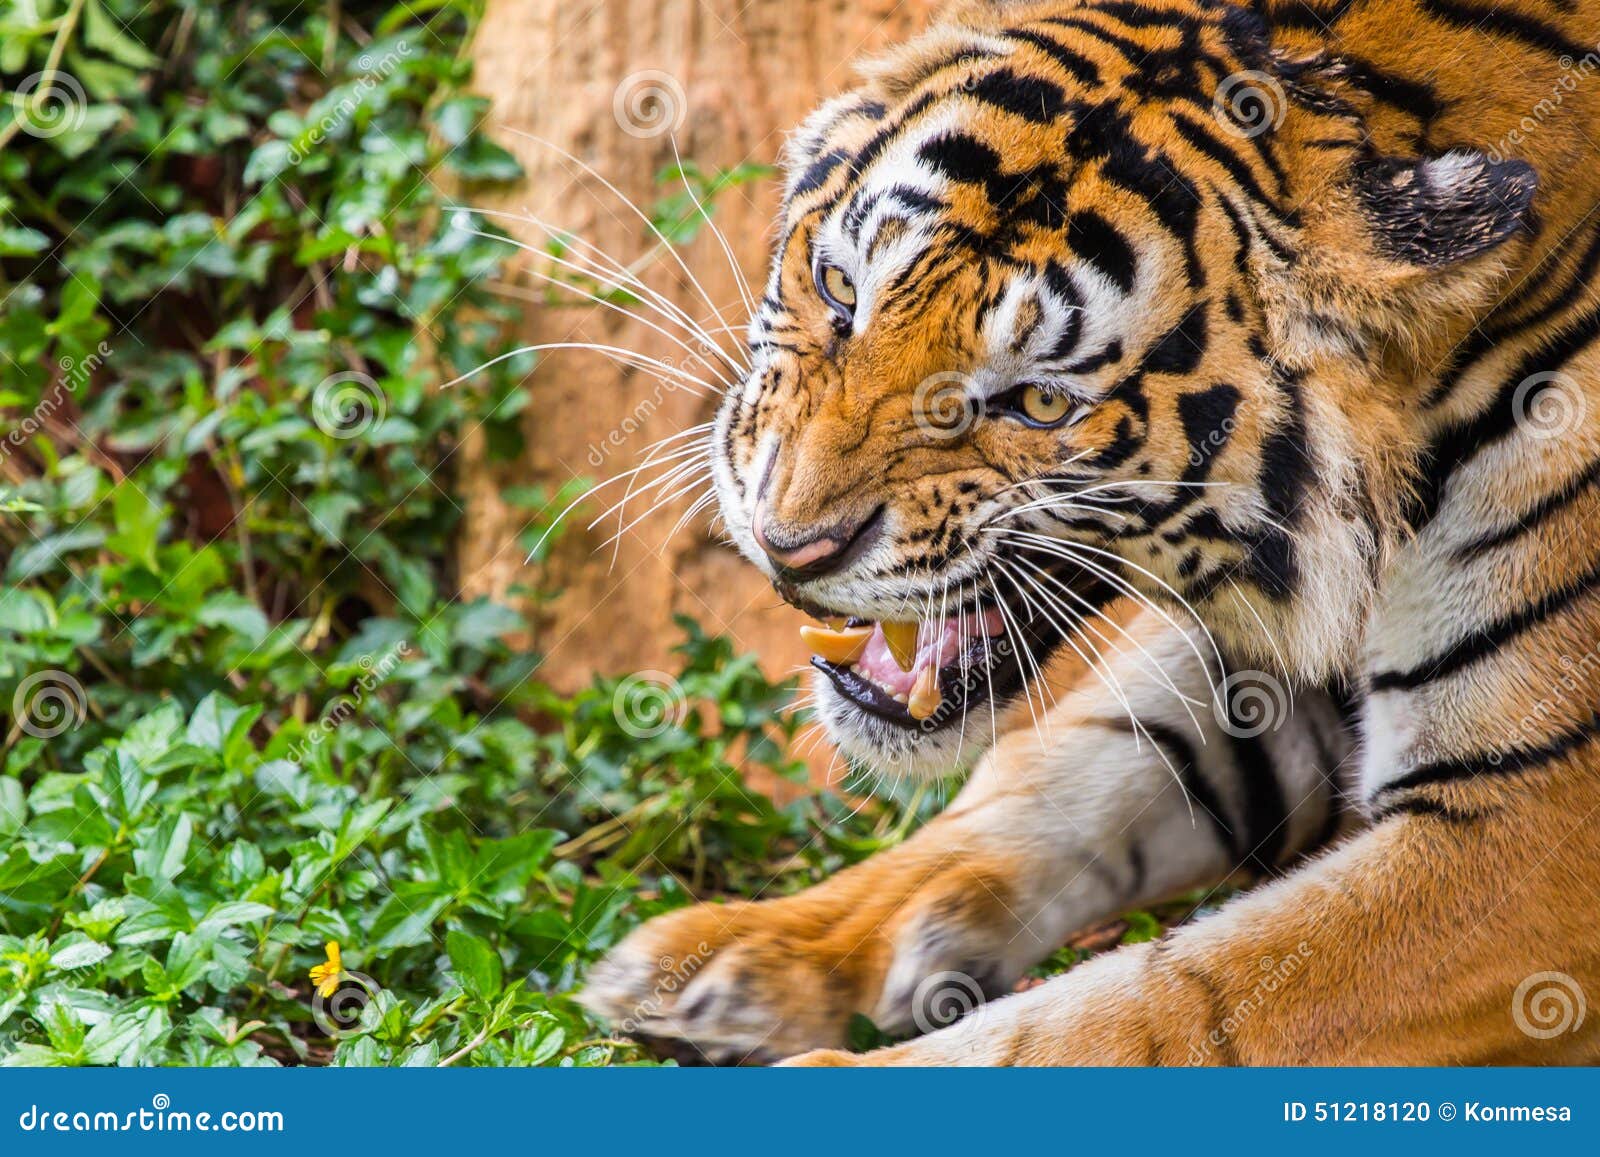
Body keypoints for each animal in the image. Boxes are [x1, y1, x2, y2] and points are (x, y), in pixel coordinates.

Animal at [579, 0, 1600, 1064]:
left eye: (1038, 401)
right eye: (838, 288)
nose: (786, 543)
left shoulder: (1528, 829)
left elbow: (1167, 1004)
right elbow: (1052, 773)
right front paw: (722, 956)